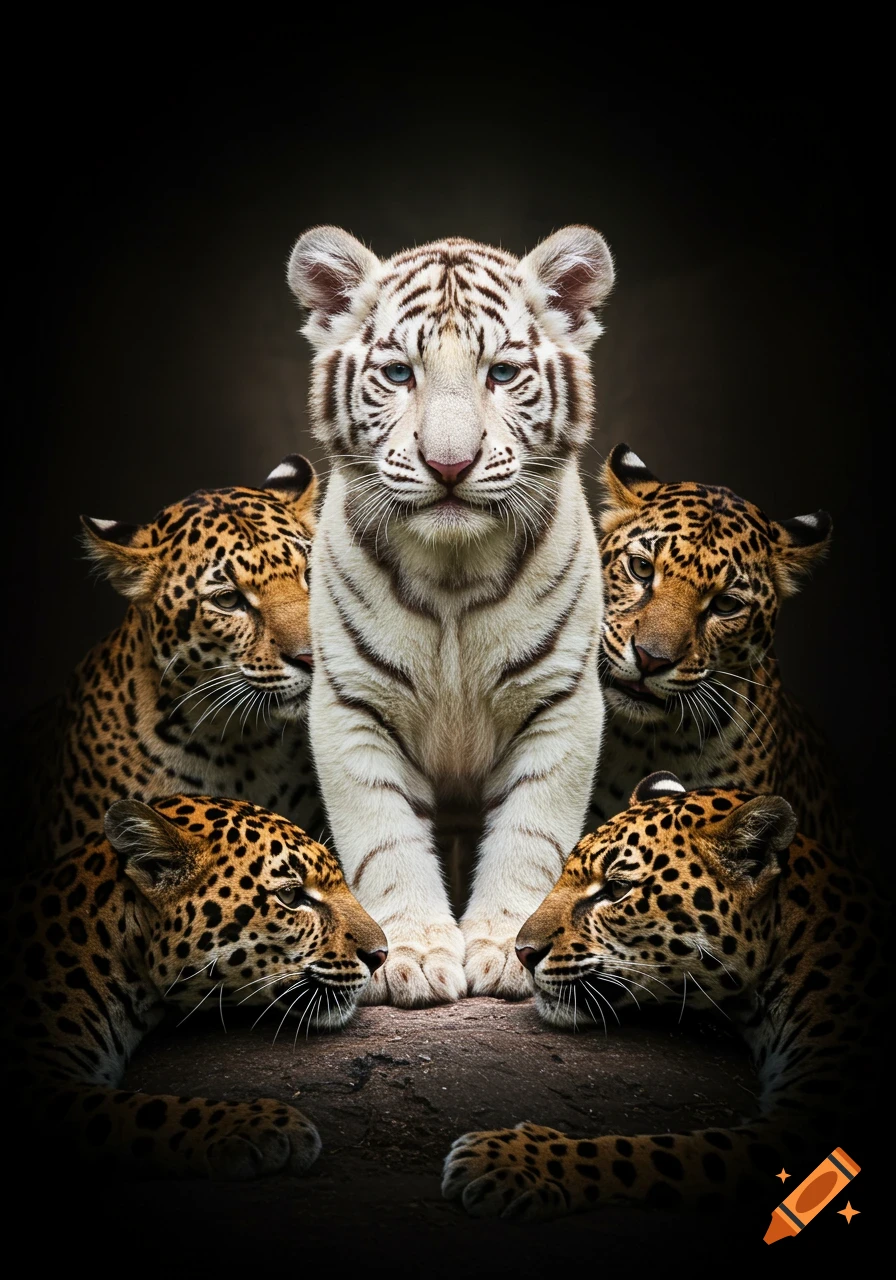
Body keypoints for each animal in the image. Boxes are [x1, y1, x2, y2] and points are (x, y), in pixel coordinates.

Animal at [286, 225, 614, 1007]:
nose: (449, 464)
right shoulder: (351, 707)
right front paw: (411, 954)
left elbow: (532, 835)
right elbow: (384, 840)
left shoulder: (562, 703)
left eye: (502, 373)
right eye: (399, 373)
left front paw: (503, 948)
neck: (453, 575)